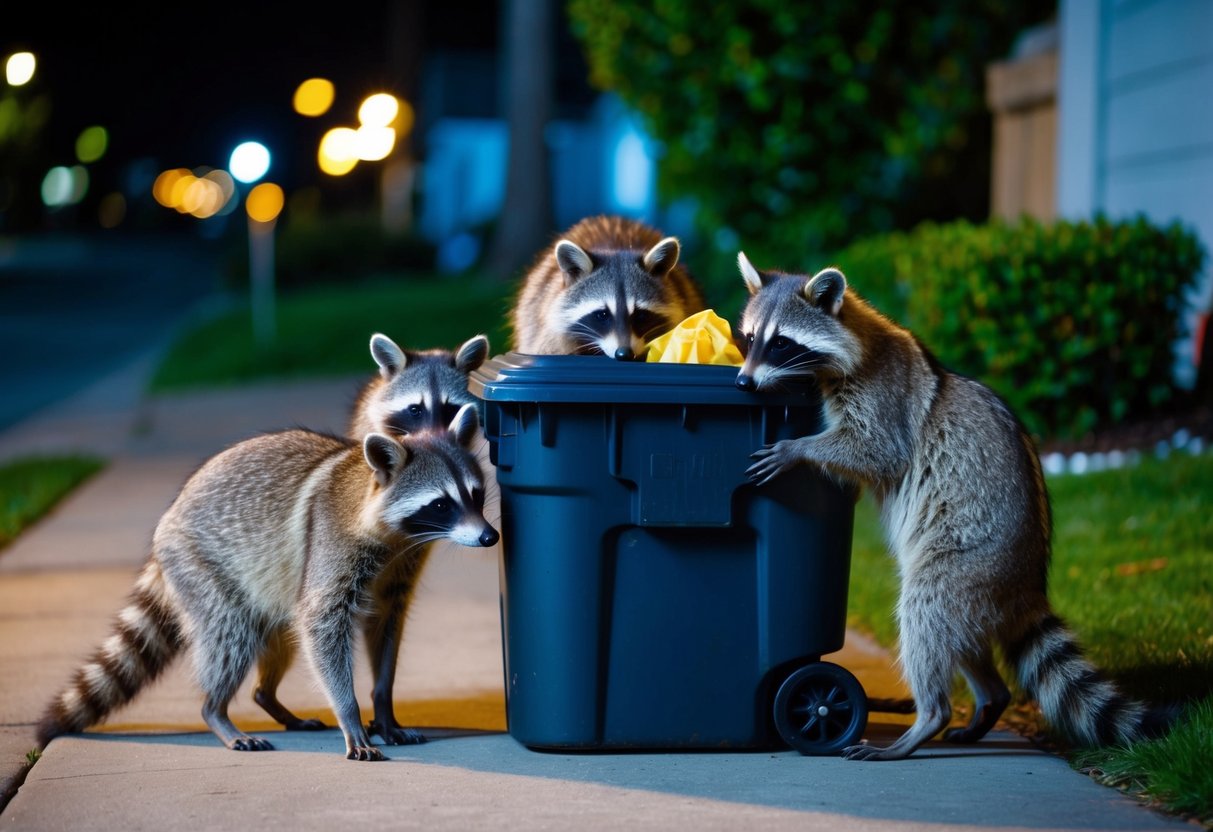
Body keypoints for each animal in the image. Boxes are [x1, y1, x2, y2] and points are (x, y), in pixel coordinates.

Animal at [38, 406, 498, 761]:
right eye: (441, 504)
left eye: (476, 495)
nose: (489, 537)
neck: (394, 531)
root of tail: (168, 520)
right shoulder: (333, 545)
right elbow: (321, 623)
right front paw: (349, 715)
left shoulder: (397, 571)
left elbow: (384, 626)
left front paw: (384, 708)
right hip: (200, 566)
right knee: (232, 637)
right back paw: (216, 711)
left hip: (267, 585)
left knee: (278, 634)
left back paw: (269, 699)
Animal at [734, 253, 1169, 761]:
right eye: (750, 338)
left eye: (781, 343)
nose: (743, 382)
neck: (858, 336)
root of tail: (1027, 582)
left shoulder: (883, 397)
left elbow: (876, 452)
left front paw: (798, 449)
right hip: (977, 594)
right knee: (957, 636)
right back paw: (988, 697)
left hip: (968, 562)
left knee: (925, 612)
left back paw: (927, 718)